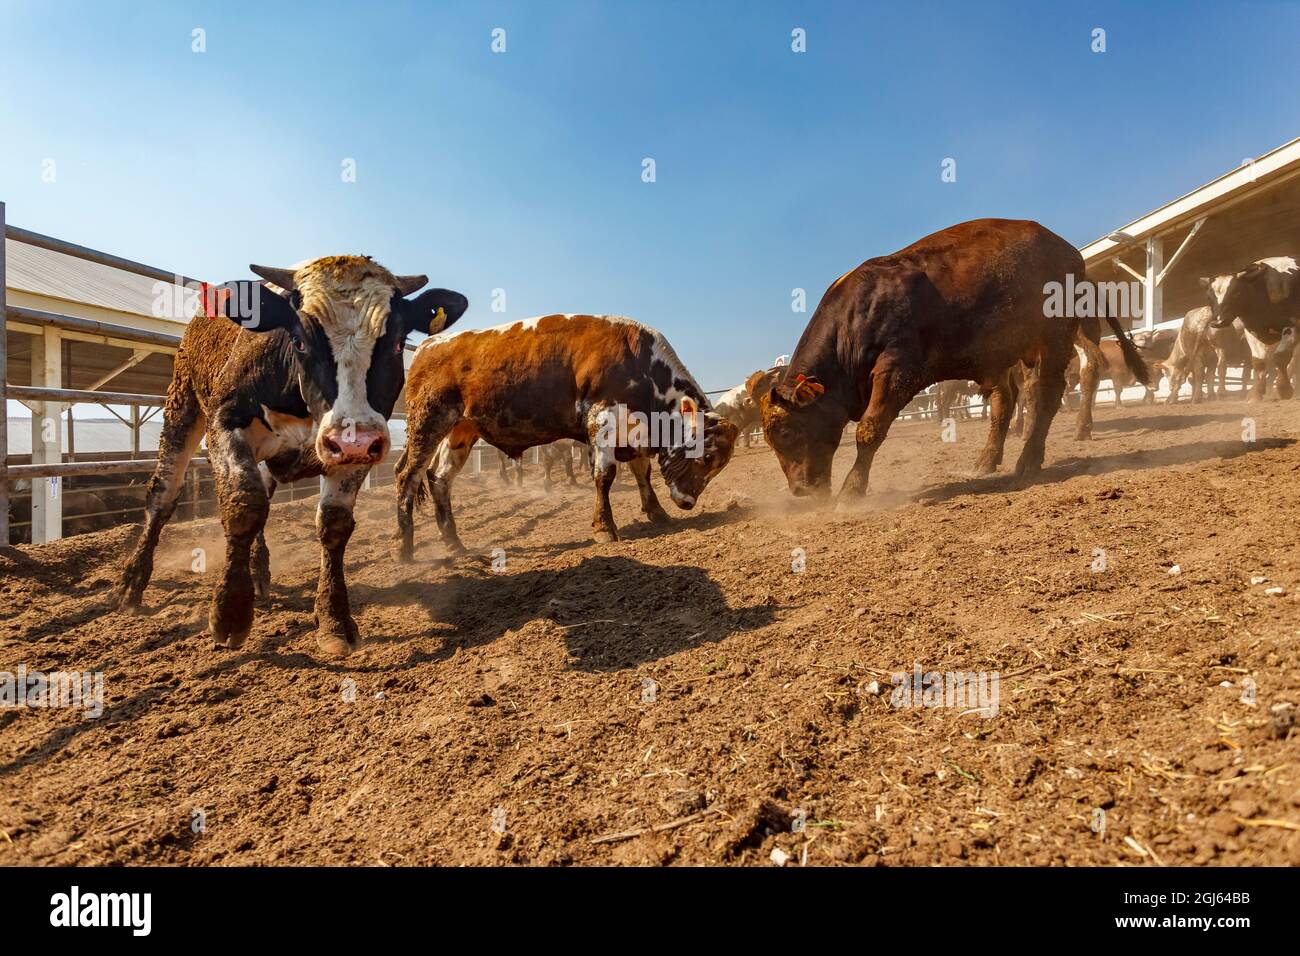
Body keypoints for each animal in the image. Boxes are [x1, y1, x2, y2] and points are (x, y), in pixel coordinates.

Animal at [115, 256, 467, 656]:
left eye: (396, 344)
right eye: (299, 341)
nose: (355, 440)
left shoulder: (352, 451)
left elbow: (332, 524)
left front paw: (333, 619)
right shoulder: (224, 422)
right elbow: (244, 503)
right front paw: (230, 611)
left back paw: (260, 572)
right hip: (183, 405)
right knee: (163, 494)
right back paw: (133, 583)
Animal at [394, 314, 739, 556]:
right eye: (706, 456)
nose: (688, 502)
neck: (637, 363)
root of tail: (431, 344)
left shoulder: (633, 430)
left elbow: (642, 472)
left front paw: (656, 511)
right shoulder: (602, 421)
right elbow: (605, 476)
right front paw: (604, 528)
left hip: (461, 430)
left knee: (440, 478)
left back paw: (454, 544)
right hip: (429, 422)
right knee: (408, 476)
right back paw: (404, 548)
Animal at [745, 219, 1148, 499]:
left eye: (786, 431)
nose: (800, 491)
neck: (858, 315)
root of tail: (1073, 257)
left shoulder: (898, 370)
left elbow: (869, 430)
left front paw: (853, 490)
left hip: (1056, 337)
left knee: (1047, 394)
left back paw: (1029, 460)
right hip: (1006, 353)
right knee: (1007, 401)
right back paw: (988, 459)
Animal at [1204, 258, 1299, 401]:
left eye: (1236, 292)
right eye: (1209, 297)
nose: (1218, 321)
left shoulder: (1294, 326)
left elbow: (1281, 356)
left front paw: (1283, 390)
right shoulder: (1252, 331)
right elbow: (1259, 362)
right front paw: (1256, 394)